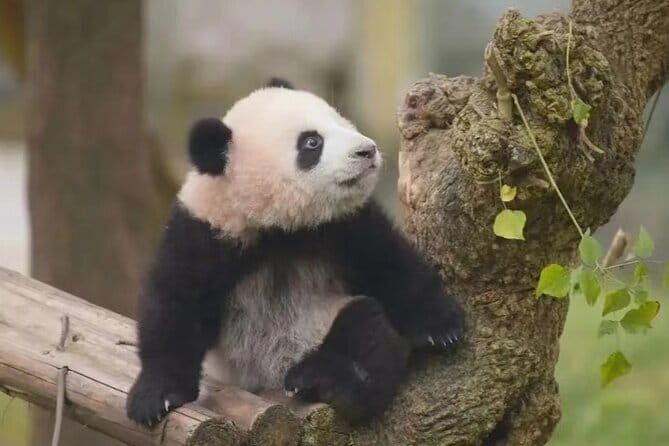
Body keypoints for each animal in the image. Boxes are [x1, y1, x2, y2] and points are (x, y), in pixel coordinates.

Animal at [126, 78, 465, 426]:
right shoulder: (207, 233)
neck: (282, 228)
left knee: (366, 329)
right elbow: (175, 306)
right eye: (312, 143)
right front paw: (156, 398)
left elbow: (388, 264)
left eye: (341, 120)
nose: (366, 150)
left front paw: (441, 326)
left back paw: (324, 379)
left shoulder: (343, 225)